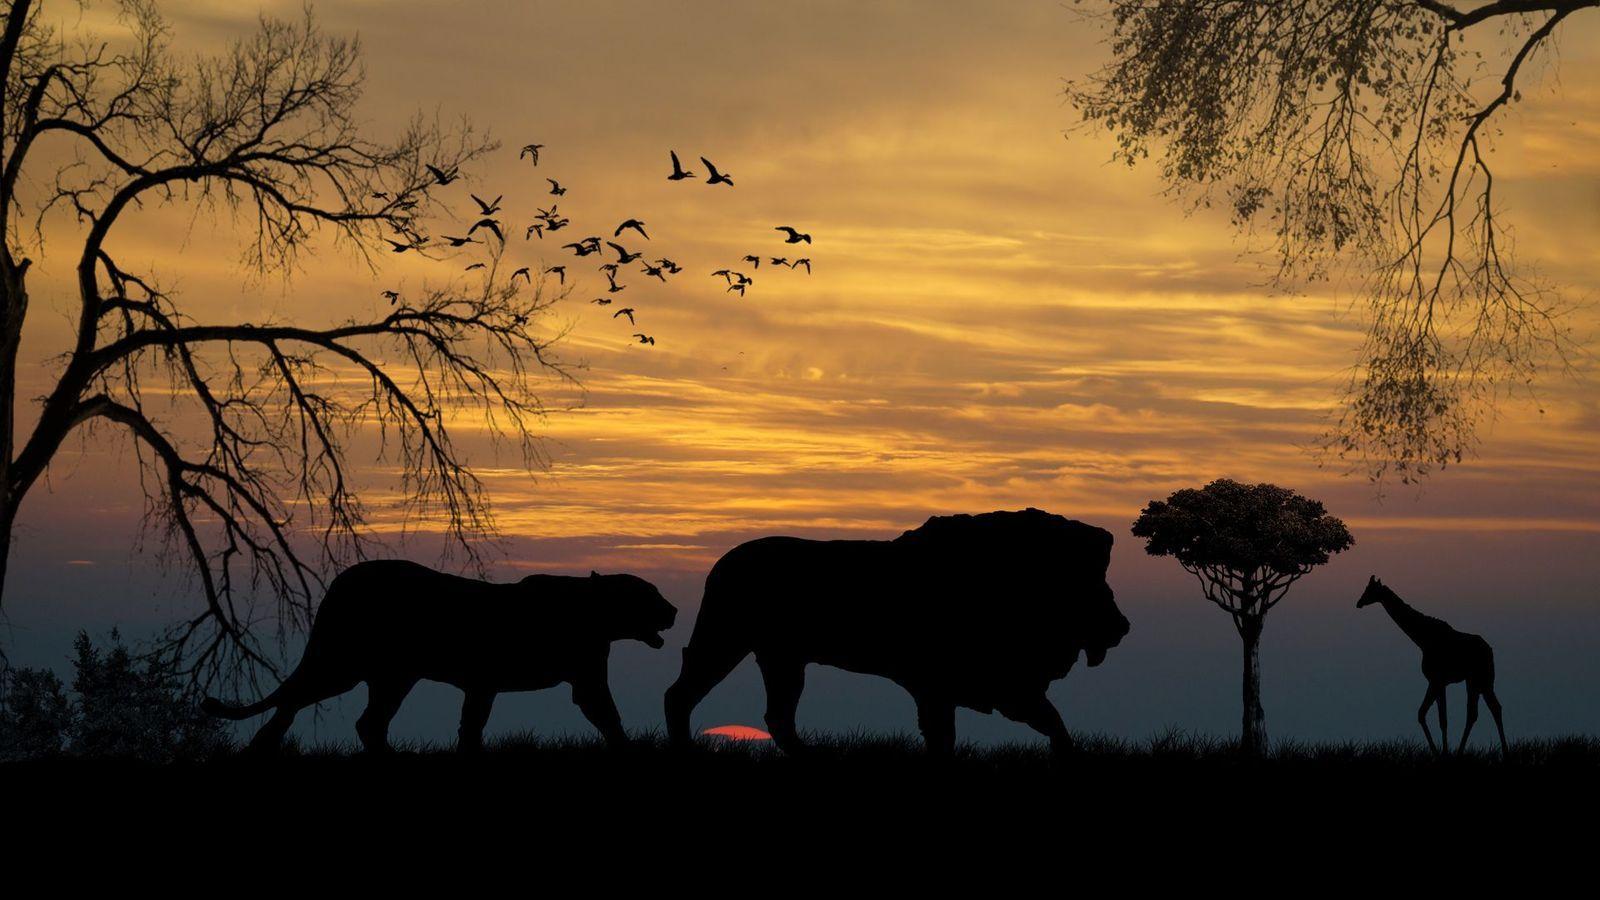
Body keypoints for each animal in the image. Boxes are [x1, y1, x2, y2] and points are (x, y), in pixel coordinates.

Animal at [203, 560, 676, 753]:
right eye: (649, 594)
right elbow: (609, 715)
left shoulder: (487, 685)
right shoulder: (584, 680)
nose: (673, 610)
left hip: (387, 676)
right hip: (347, 665)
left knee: (350, 716)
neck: (594, 614)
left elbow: (471, 726)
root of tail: (341, 582)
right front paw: (628, 751)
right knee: (303, 701)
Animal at [664, 509, 1129, 755]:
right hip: (725, 642)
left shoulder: (981, 689)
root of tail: (722, 566)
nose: (1121, 627)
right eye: (1094, 584)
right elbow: (953, 735)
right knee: (682, 694)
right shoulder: (955, 688)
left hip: (781, 660)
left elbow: (1051, 722)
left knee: (776, 715)